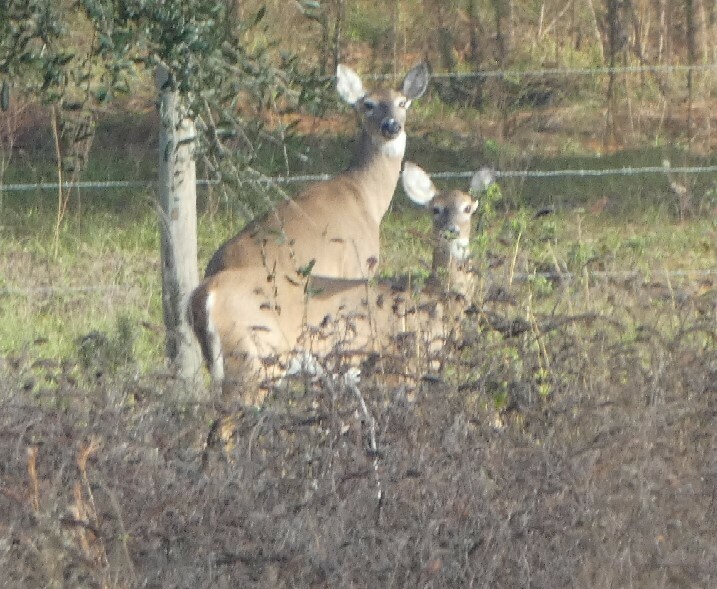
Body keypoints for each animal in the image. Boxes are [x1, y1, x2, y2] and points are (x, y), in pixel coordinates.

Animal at [189, 162, 495, 406]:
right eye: (435, 209)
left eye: (468, 208)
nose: (451, 231)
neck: (434, 301)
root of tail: (206, 293)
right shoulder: (400, 367)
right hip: (252, 361)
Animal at [204, 62, 430, 281]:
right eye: (368, 105)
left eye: (402, 102)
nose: (391, 125)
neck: (367, 198)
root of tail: (214, 267)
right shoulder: (356, 268)